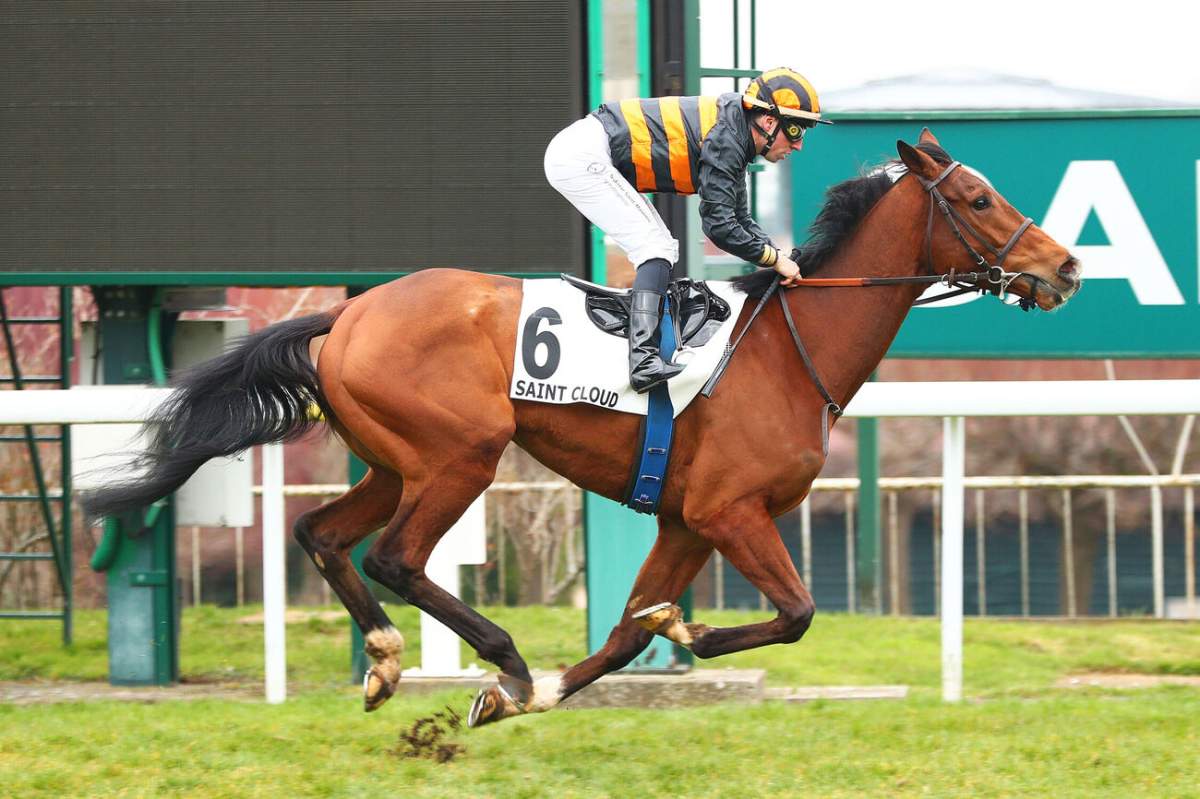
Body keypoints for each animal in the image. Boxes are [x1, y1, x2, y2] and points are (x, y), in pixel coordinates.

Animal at [81, 128, 1081, 727]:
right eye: (981, 199)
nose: (1066, 267)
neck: (787, 347)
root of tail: (349, 313)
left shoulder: (683, 518)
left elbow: (632, 631)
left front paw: (556, 686)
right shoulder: (730, 511)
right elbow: (791, 613)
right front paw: (668, 642)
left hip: (394, 461)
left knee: (320, 533)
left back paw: (389, 660)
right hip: (461, 455)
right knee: (395, 556)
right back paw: (504, 657)